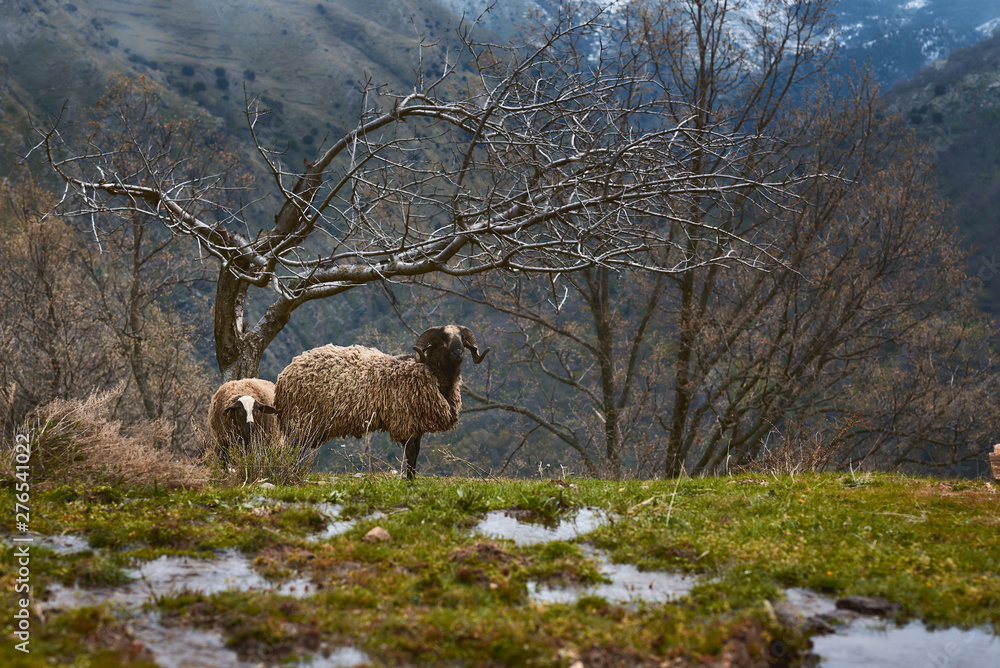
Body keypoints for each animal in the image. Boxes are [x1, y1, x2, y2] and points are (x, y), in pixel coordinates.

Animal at [274, 325, 489, 479]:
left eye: (462, 338)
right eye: (443, 340)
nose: (459, 353)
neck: (428, 371)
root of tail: (286, 372)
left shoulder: (416, 424)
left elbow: (415, 454)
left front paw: (412, 479)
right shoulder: (406, 422)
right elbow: (411, 453)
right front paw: (409, 481)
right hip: (301, 419)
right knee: (292, 448)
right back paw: (288, 472)